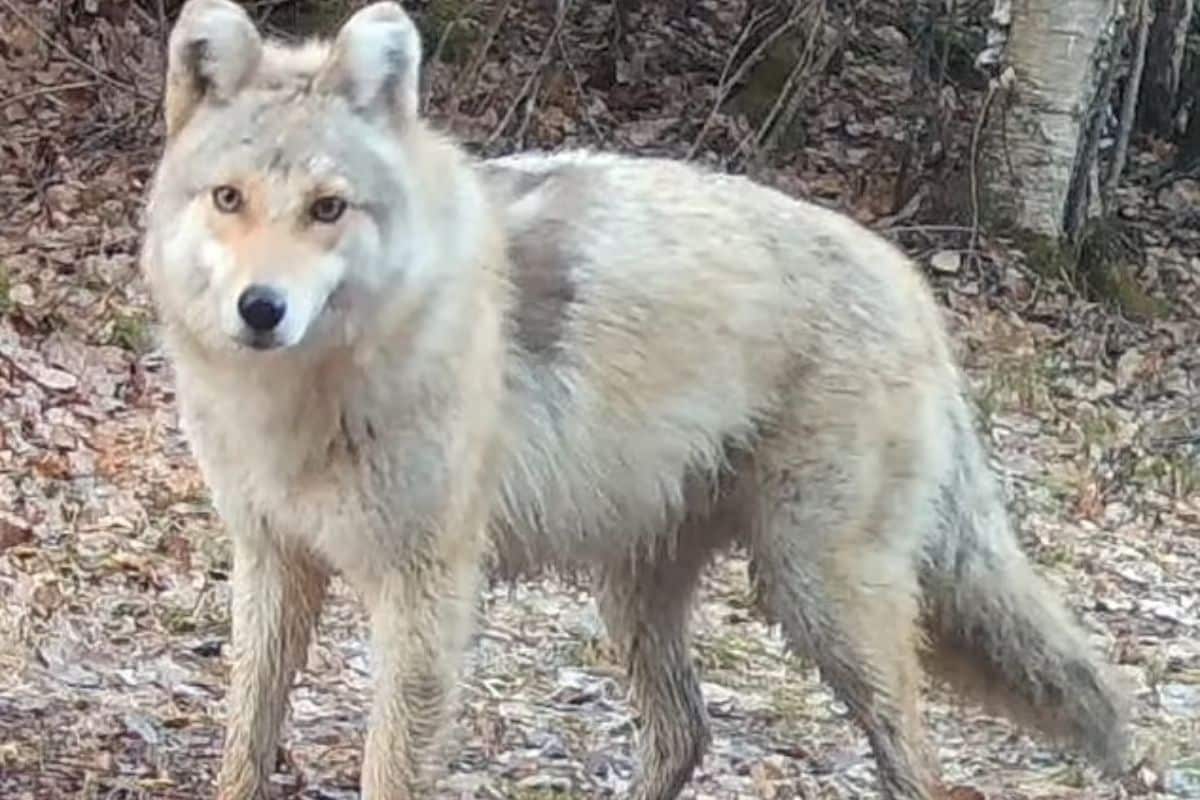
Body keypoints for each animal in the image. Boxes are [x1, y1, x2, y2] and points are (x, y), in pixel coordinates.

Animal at [140, 2, 1133, 798]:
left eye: (327, 208)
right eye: (229, 198)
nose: (261, 309)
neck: (299, 402)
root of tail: (912, 285)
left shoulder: (427, 592)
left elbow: (390, 770)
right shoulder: (272, 562)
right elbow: (245, 742)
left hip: (816, 599)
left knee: (920, 767)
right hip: (641, 594)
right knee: (690, 730)